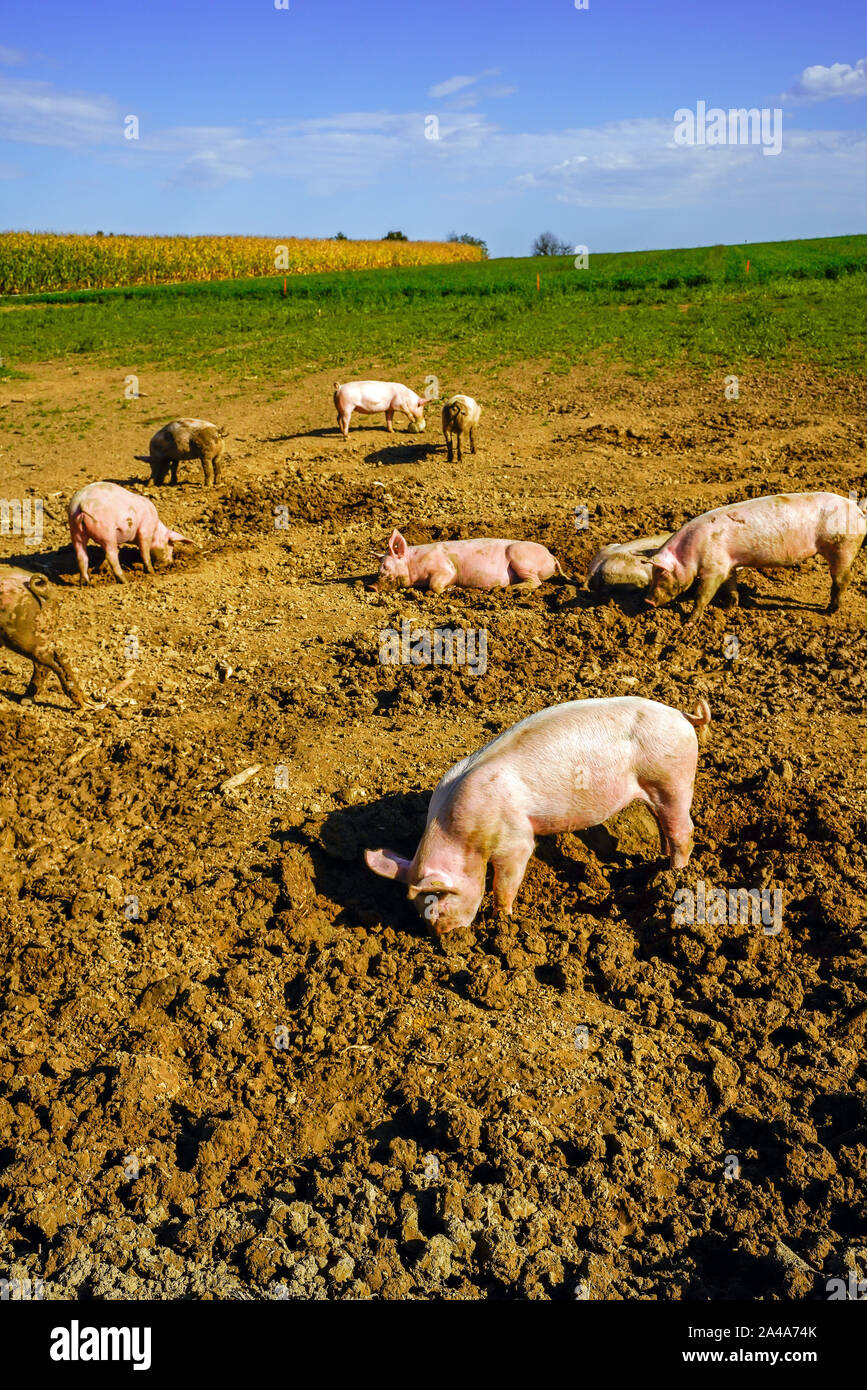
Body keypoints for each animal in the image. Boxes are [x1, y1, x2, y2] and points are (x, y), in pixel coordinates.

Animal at [0, 567, 85, 707]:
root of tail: (46, 589)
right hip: (40, 635)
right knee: (47, 662)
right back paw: (26, 700)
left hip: (22, 638)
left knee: (57, 660)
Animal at [365, 694, 711, 936]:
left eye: (437, 906)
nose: (440, 937)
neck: (463, 838)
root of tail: (681, 716)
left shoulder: (516, 840)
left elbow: (504, 882)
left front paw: (502, 921)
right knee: (664, 825)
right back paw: (661, 860)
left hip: (673, 779)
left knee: (685, 831)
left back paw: (674, 874)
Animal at [375, 529, 565, 594]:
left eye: (386, 566)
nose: (371, 586)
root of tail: (551, 556)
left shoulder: (445, 568)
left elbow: (435, 585)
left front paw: (454, 588)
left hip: (520, 557)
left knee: (536, 582)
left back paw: (512, 588)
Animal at [644, 491, 867, 624]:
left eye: (661, 575)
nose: (647, 600)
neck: (690, 551)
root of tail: (857, 507)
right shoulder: (729, 565)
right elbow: (731, 585)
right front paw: (730, 607)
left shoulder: (714, 567)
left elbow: (703, 594)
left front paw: (689, 622)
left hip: (842, 546)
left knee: (843, 579)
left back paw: (830, 610)